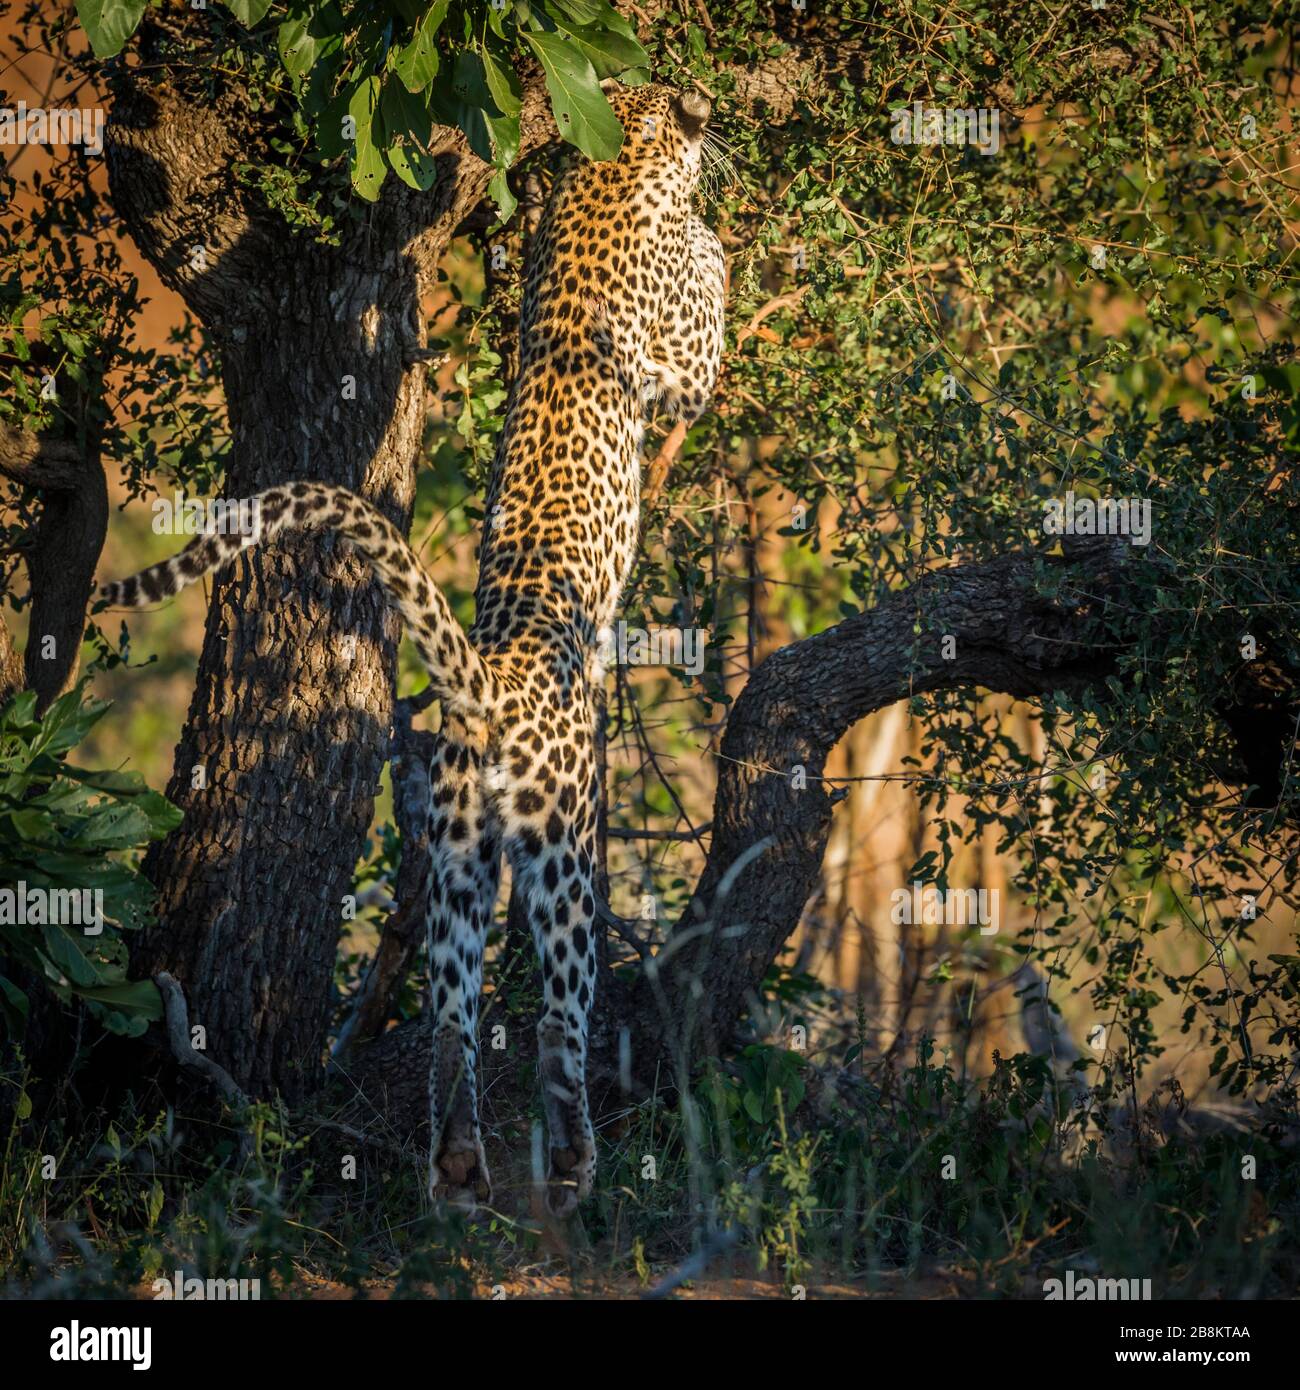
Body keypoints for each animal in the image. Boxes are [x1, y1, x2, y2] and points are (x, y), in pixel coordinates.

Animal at [96, 81, 725, 1219]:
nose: (700, 112)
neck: (607, 169)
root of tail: (490, 683)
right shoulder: (681, 362)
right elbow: (707, 315)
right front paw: (719, 230)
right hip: (564, 847)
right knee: (558, 1011)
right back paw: (574, 1166)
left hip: (458, 855)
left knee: (450, 1016)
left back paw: (459, 1173)